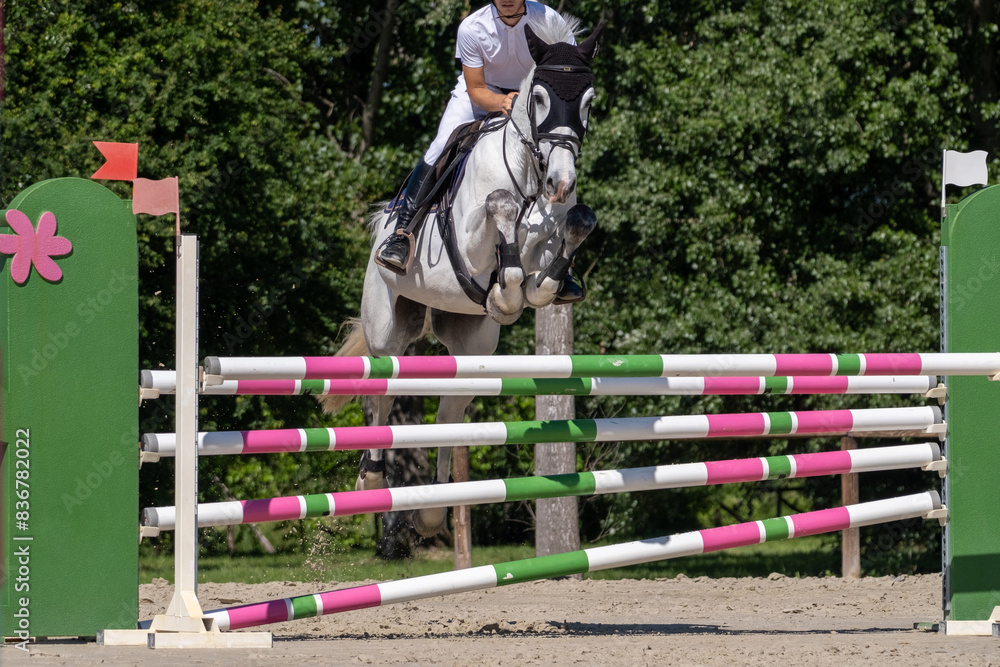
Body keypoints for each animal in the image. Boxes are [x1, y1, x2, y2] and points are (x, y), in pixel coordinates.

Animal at [321, 18, 604, 539]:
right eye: (539, 97)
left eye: (589, 100)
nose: (559, 183)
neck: (529, 173)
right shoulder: (471, 247)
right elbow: (501, 209)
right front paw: (505, 289)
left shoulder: (548, 242)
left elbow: (568, 237)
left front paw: (521, 290)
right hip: (388, 330)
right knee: (382, 397)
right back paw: (372, 479)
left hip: (471, 350)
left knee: (448, 414)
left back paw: (434, 509)